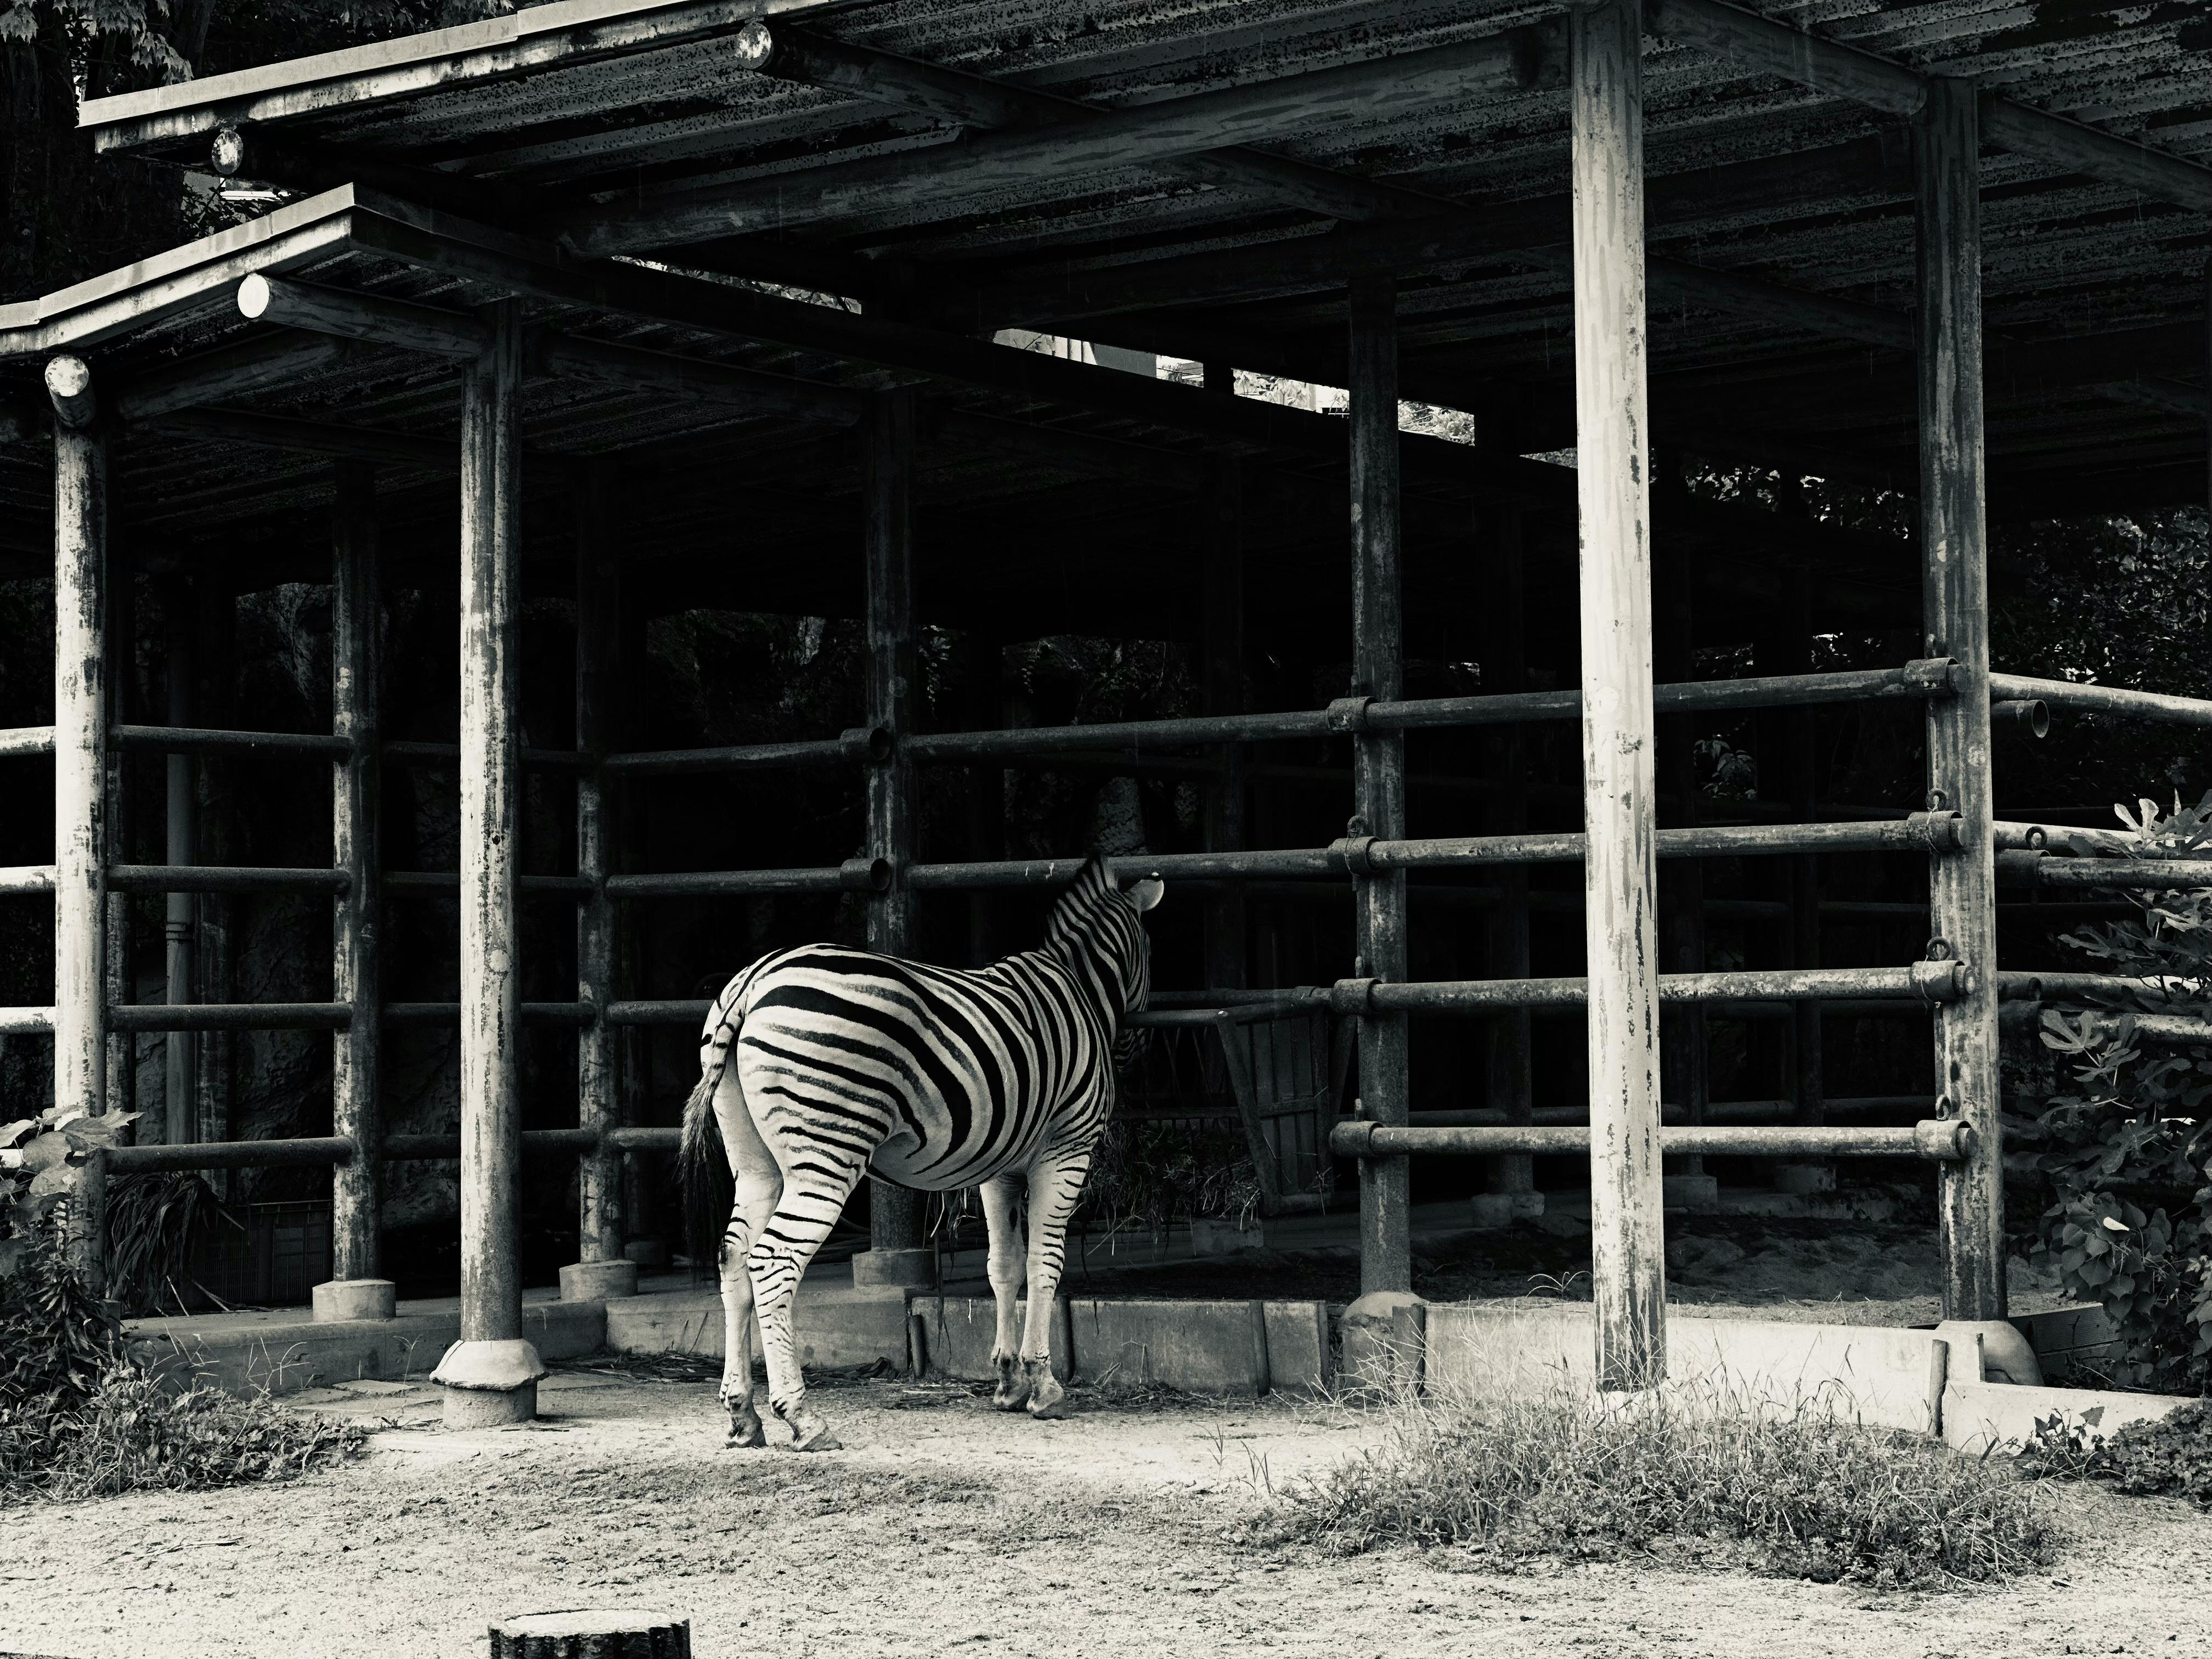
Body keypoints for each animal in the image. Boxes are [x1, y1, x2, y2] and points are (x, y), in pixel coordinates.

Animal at [678, 854, 1163, 1451]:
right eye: (1150, 952)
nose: (1140, 1049)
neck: (1079, 987)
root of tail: (752, 982)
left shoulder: (999, 1167)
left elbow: (1002, 1264)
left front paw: (1007, 1381)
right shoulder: (1067, 1148)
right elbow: (1044, 1262)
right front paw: (1044, 1386)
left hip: (755, 1162)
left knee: (733, 1258)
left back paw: (742, 1414)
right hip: (828, 1152)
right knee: (773, 1260)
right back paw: (802, 1417)